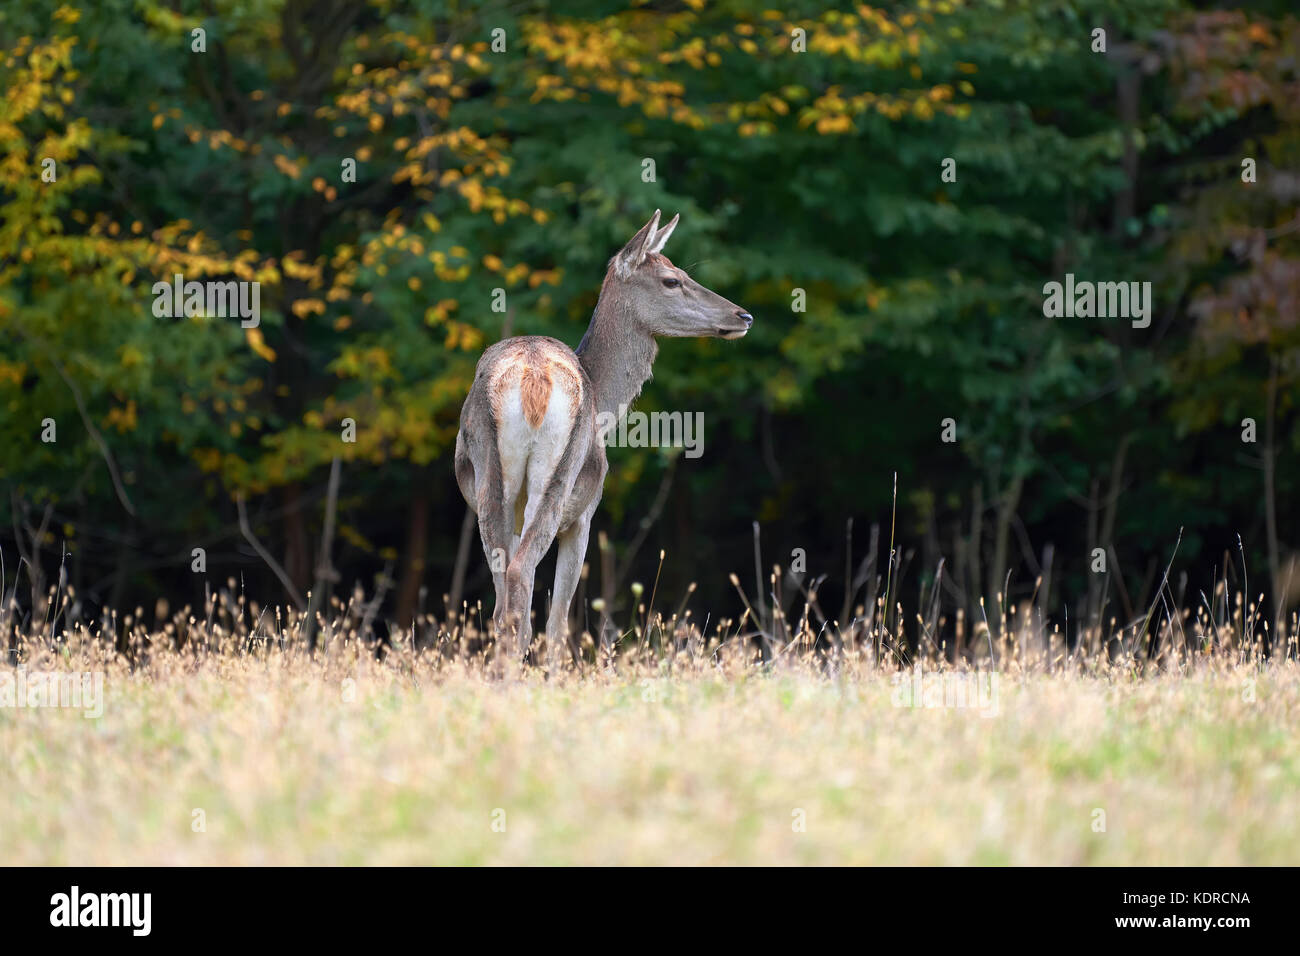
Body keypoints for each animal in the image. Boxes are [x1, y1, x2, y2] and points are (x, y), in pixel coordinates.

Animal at [454, 210, 753, 662]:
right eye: (672, 279)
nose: (743, 316)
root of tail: (531, 378)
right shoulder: (585, 514)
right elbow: (559, 623)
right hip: (560, 474)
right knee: (523, 583)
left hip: (490, 478)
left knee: (504, 601)